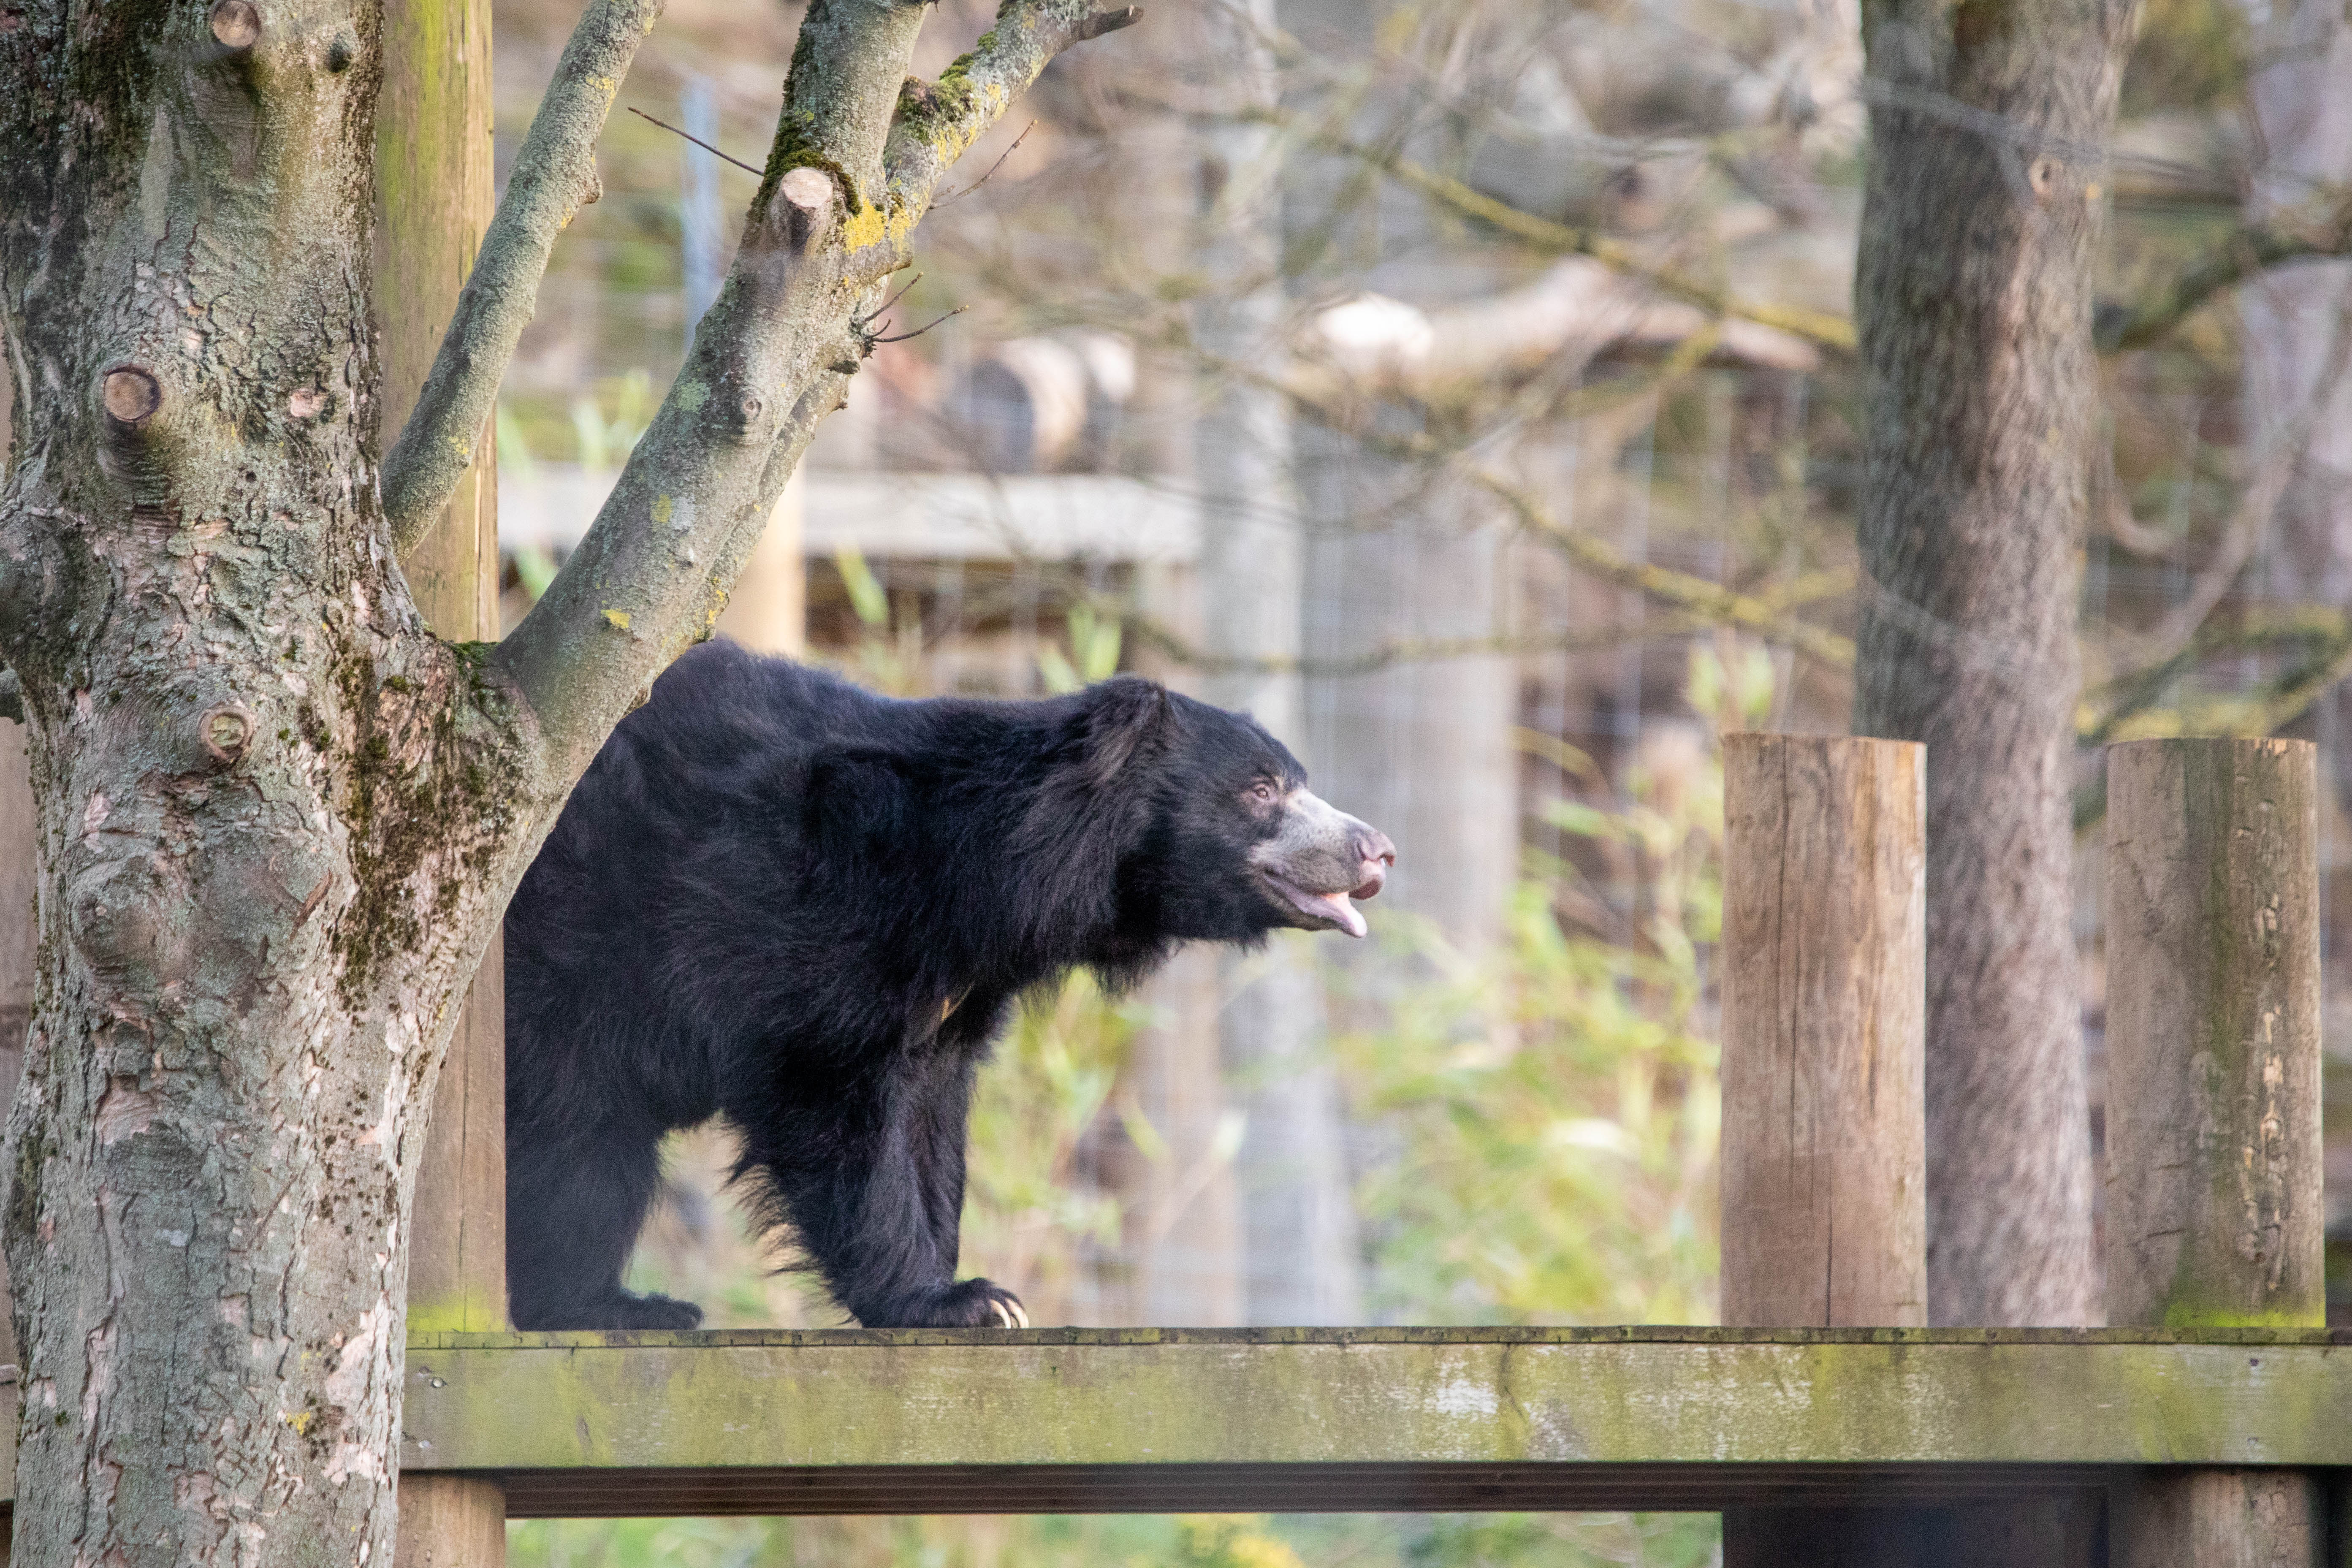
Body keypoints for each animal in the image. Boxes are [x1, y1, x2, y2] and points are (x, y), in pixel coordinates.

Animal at [503, 640, 1395, 1330]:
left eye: (1293, 779)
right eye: (1260, 789)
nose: (1378, 849)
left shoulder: (956, 990)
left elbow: (931, 1112)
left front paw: (976, 1289)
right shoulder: (809, 920)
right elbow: (832, 1101)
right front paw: (948, 1299)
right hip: (569, 958)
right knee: (582, 1139)